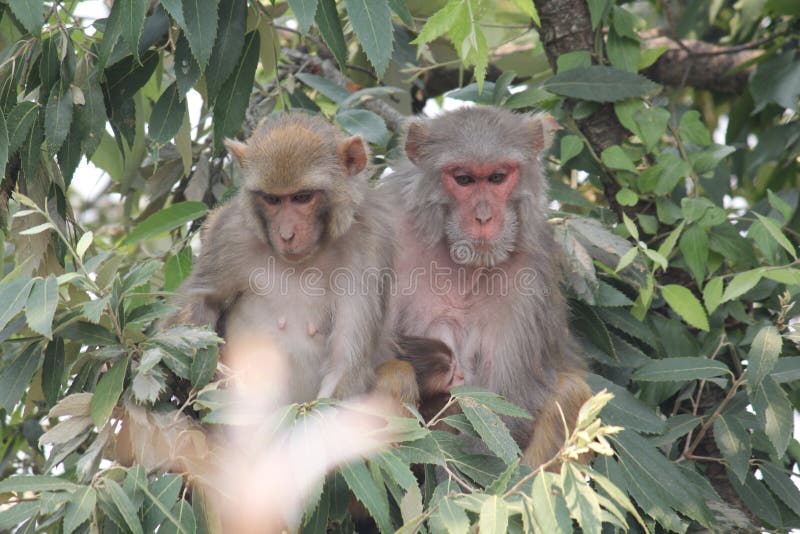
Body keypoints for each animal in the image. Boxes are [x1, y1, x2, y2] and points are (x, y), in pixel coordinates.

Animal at [165, 112, 395, 402]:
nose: (286, 234)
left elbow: (346, 362)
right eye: (272, 200)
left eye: (302, 197)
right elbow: (202, 301)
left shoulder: (368, 245)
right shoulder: (230, 234)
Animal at [383, 106, 592, 469]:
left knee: (570, 391)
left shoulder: (531, 273)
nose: (483, 217)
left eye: (497, 178)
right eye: (463, 179)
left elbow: (506, 409)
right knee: (395, 373)